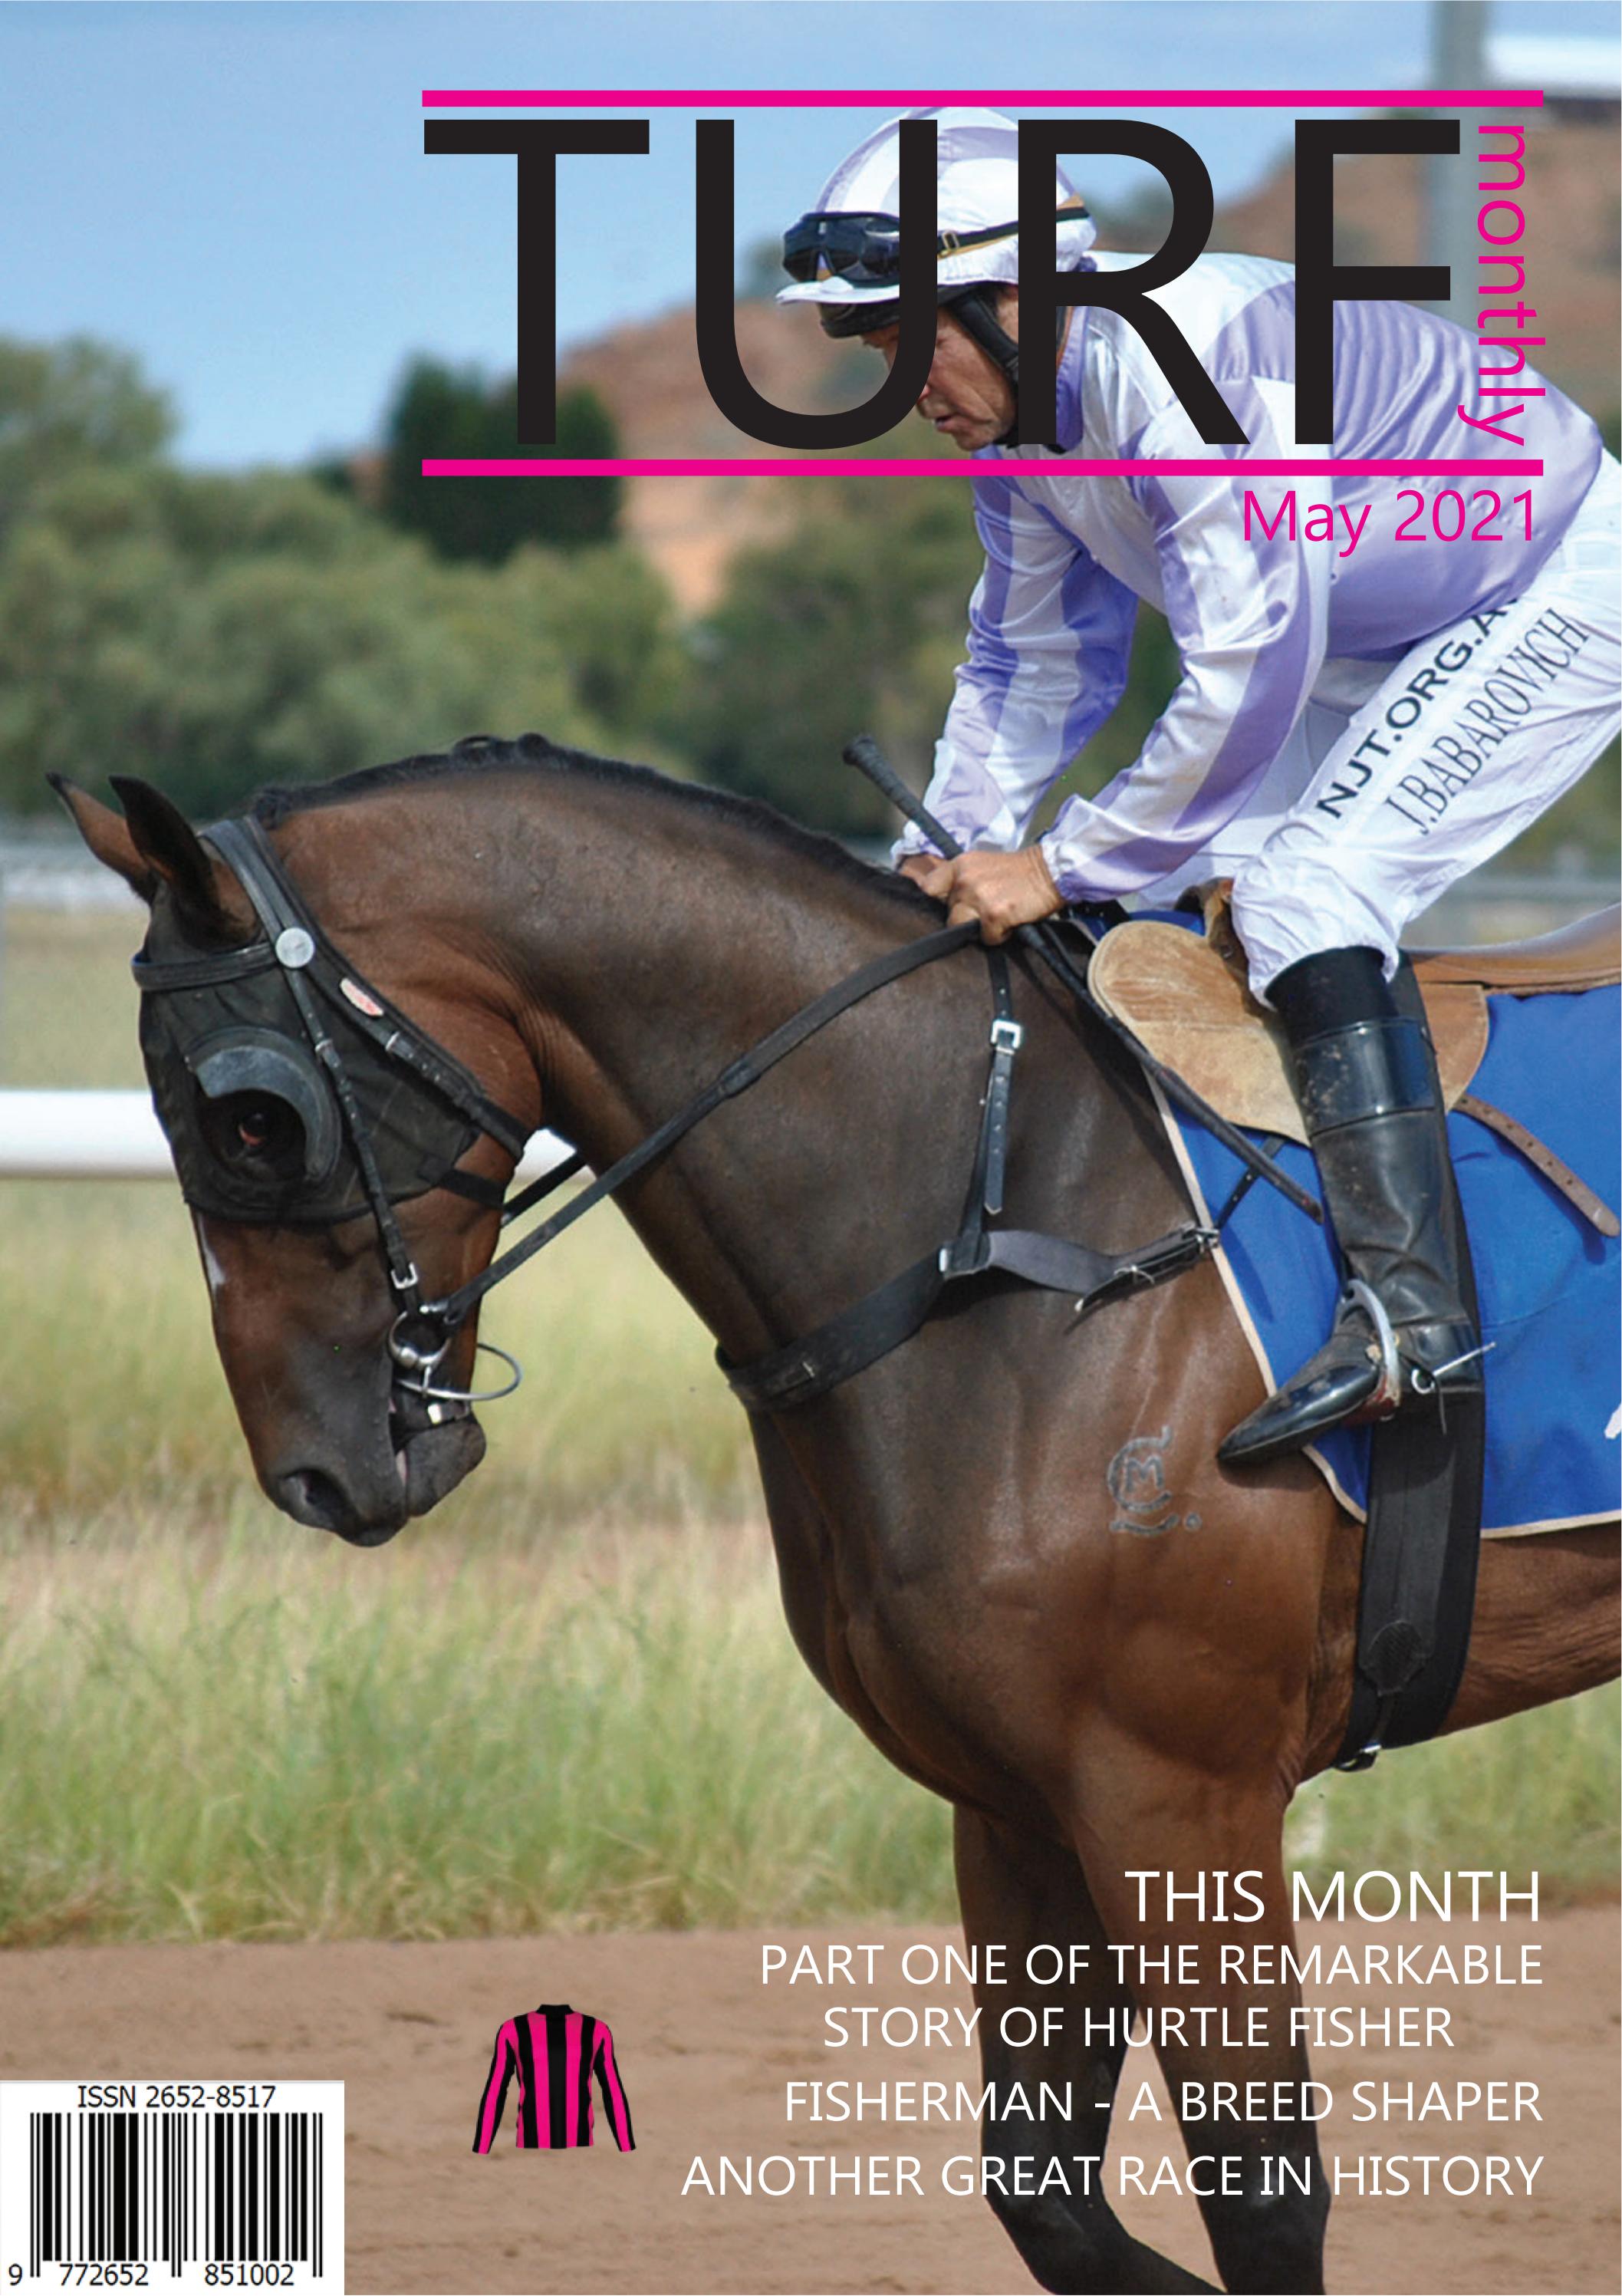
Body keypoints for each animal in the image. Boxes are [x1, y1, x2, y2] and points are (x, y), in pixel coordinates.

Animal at [60, 734, 1619, 2296]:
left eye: (252, 1115)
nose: (317, 1469)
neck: (995, 1227)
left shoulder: (1182, 1795)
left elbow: (1261, 2195)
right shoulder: (1020, 1802)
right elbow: (1045, 2192)